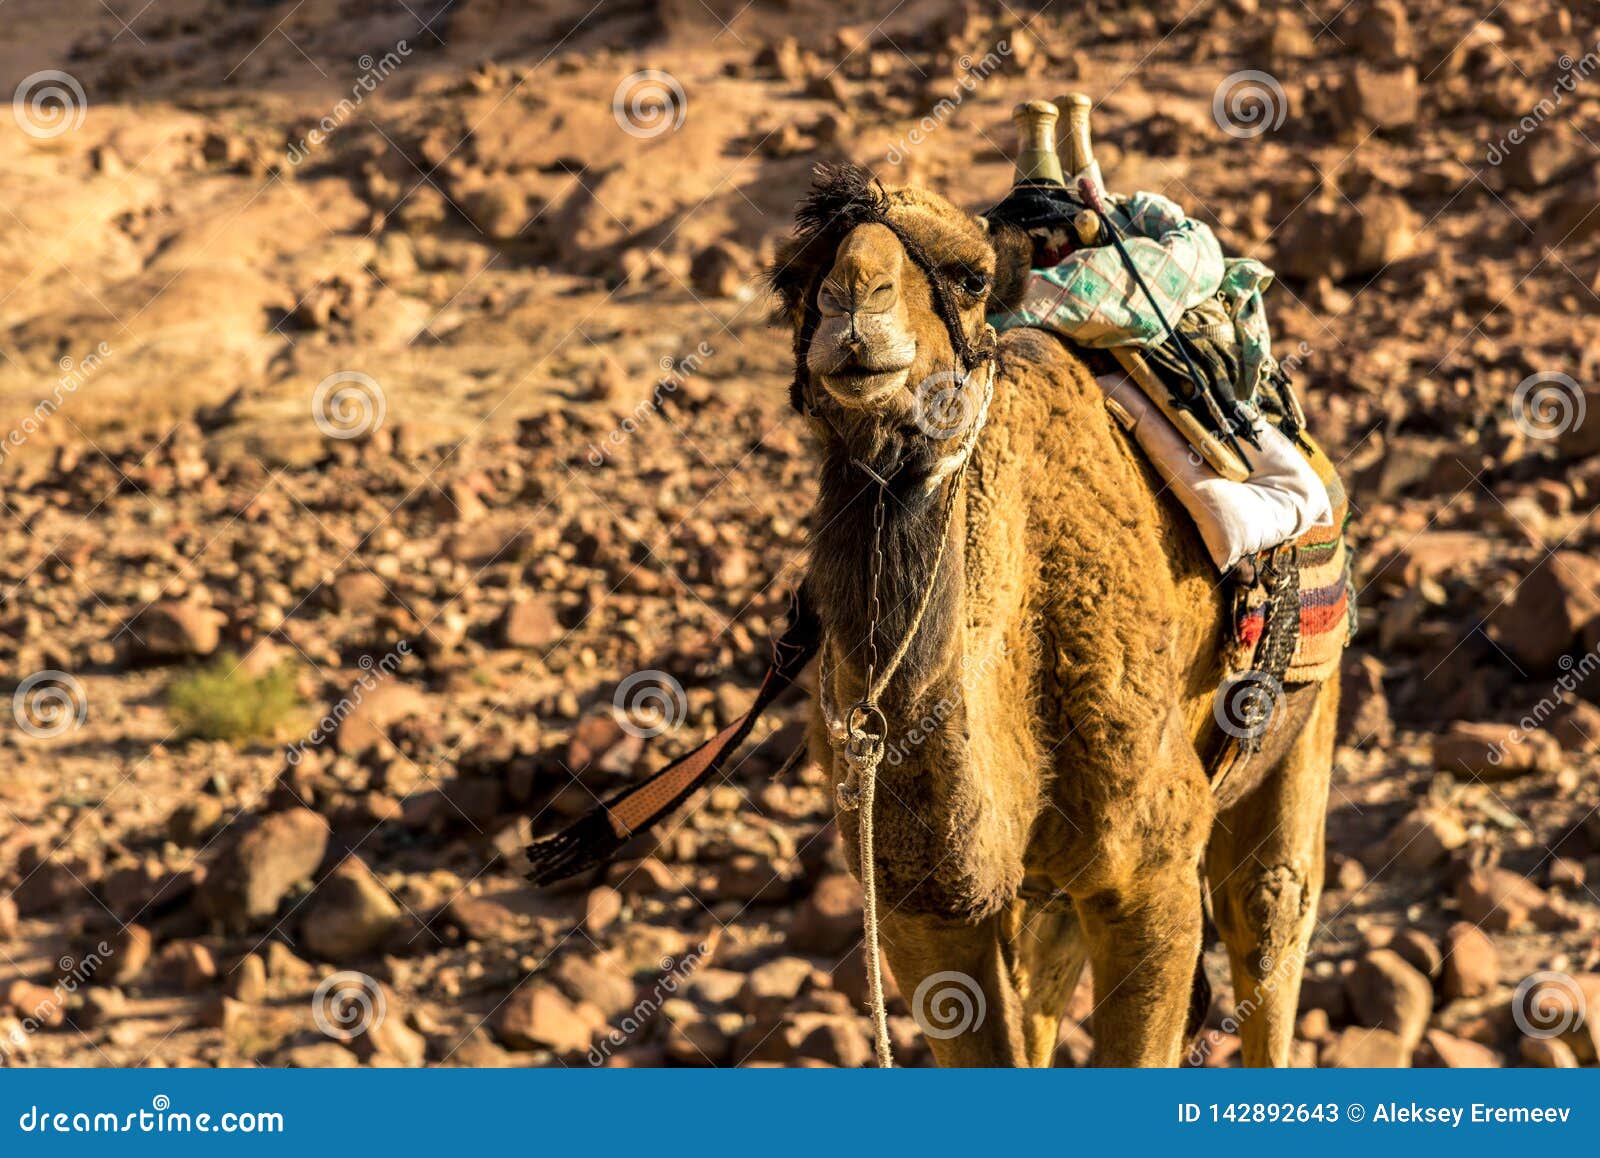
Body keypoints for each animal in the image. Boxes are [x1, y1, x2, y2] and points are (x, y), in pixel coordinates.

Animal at [769, 165, 1342, 1068]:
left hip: (1303, 725)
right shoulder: (917, 911)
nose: (854, 299)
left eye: (971, 278)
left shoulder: (1151, 877)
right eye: (795, 279)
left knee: (1269, 919)